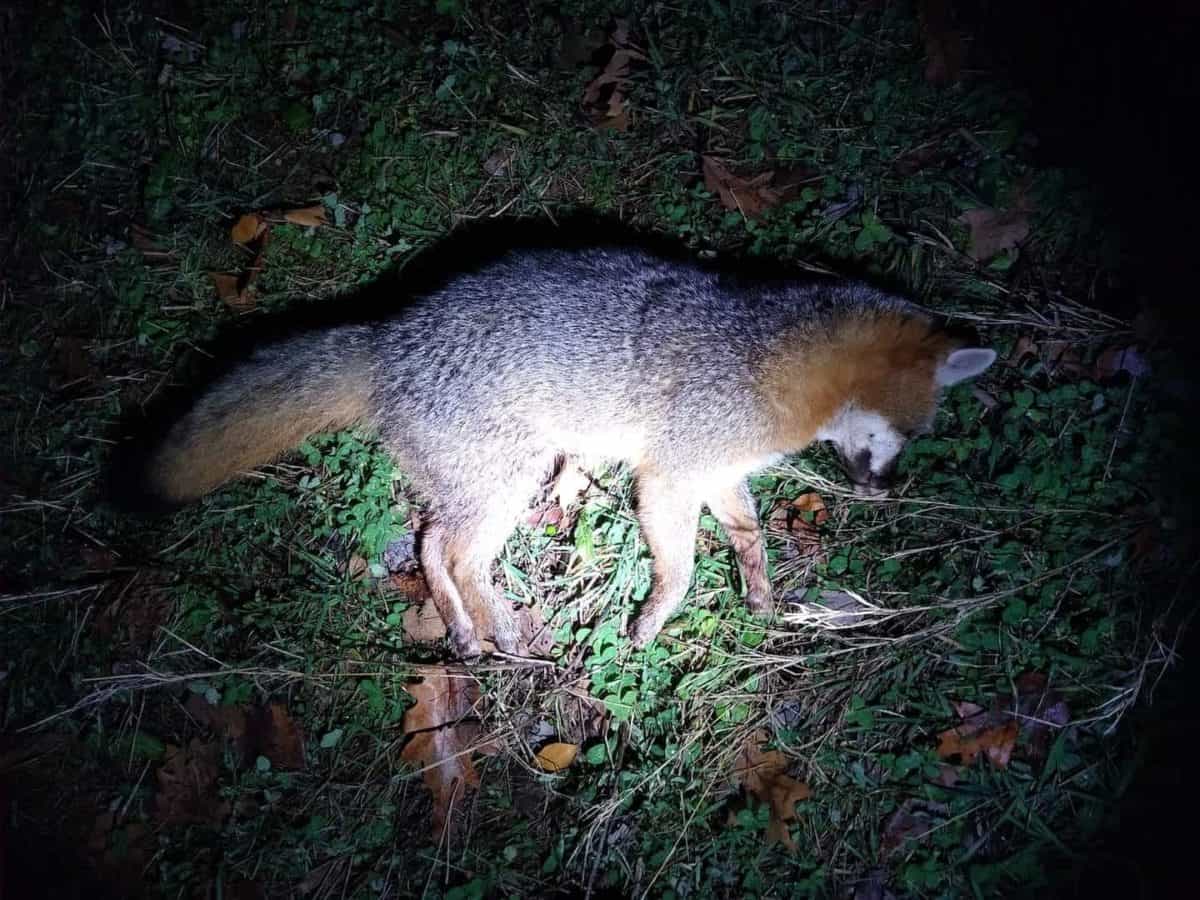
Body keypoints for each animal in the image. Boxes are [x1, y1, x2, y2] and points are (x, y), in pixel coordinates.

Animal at [119, 243, 995, 658]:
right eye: (905, 437)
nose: (886, 491)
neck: (772, 359)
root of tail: (391, 339)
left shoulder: (716, 473)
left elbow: (748, 534)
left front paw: (759, 590)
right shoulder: (670, 476)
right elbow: (681, 566)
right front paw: (655, 619)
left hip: (485, 484)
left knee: (432, 543)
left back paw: (466, 627)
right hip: (512, 481)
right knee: (456, 550)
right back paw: (500, 625)